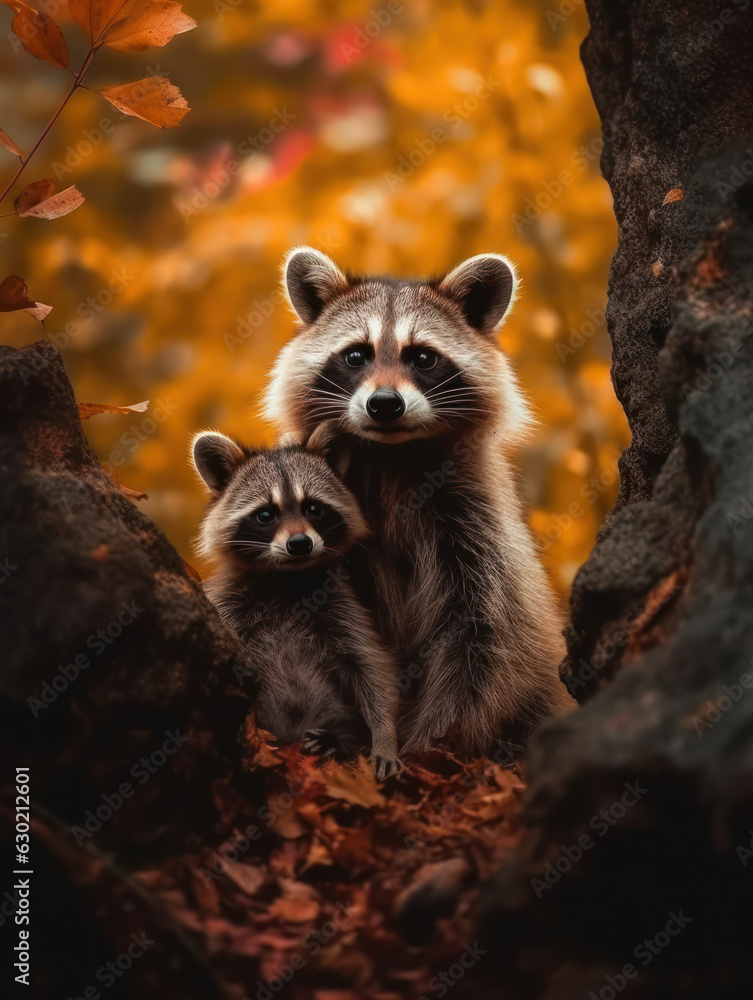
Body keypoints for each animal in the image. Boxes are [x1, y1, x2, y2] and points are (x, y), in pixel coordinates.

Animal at [192, 431, 401, 778]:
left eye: (313, 508)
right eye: (266, 514)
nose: (300, 544)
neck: (286, 578)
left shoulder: (341, 608)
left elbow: (370, 667)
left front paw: (385, 735)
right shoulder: (228, 606)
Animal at [264, 247, 572, 757]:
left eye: (423, 357)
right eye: (356, 354)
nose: (385, 404)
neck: (390, 455)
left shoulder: (475, 522)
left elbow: (482, 637)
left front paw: (429, 743)